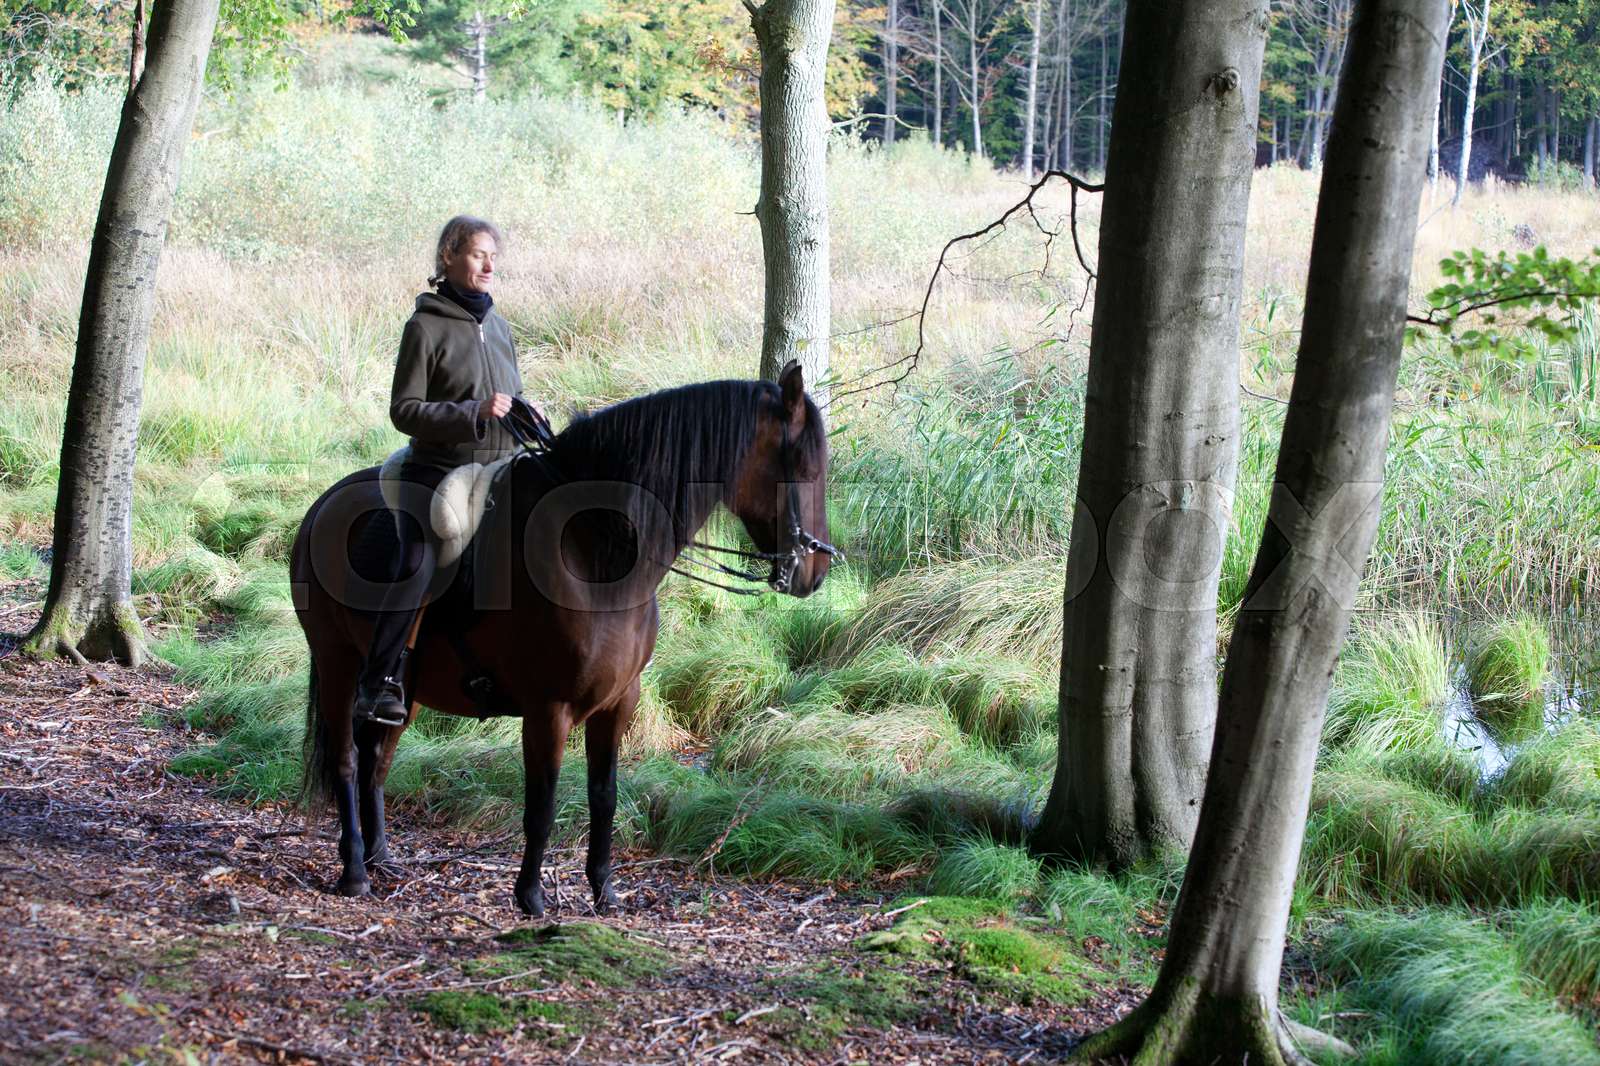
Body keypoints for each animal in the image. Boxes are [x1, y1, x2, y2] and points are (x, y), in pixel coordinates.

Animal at [289, 362, 834, 915]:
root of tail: (322, 505)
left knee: (377, 759)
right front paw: (530, 896)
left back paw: (379, 856)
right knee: (347, 761)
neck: (595, 550)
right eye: (805, 467)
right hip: (336, 663)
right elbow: (542, 805)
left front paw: (603, 890)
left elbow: (603, 795)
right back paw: (355, 870)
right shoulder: (547, 710)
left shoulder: (618, 703)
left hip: (408, 688)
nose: (816, 572)